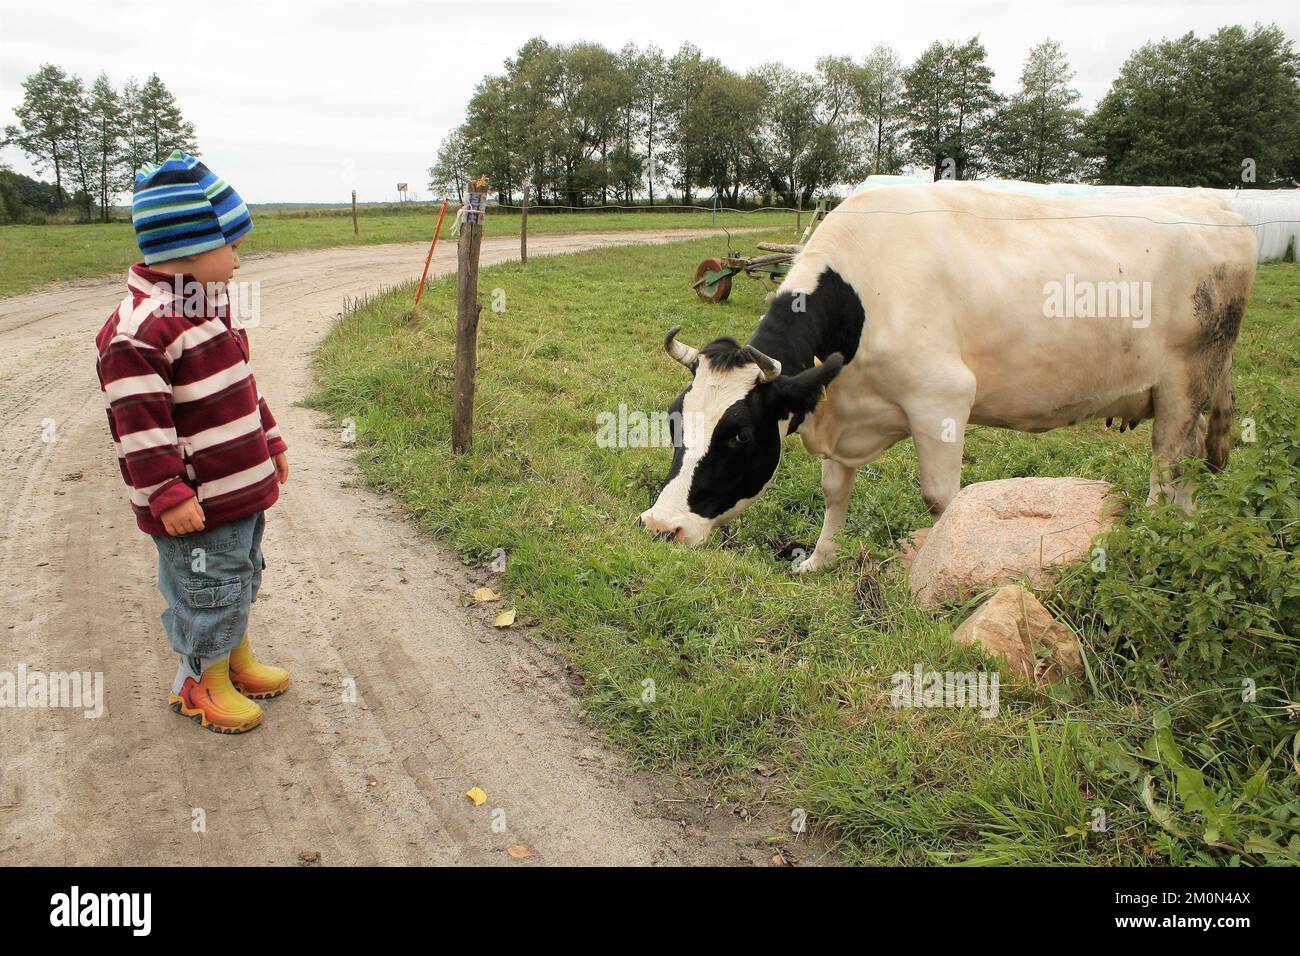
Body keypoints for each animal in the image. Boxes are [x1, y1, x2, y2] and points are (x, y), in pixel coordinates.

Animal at [638, 182, 1257, 572]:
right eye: (673, 422)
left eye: (739, 435)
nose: (660, 527)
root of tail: (1222, 209)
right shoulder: (840, 406)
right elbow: (834, 492)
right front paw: (816, 562)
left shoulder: (941, 398)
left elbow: (942, 500)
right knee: (1187, 466)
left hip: (1184, 382)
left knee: (1169, 469)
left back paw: (1153, 542)